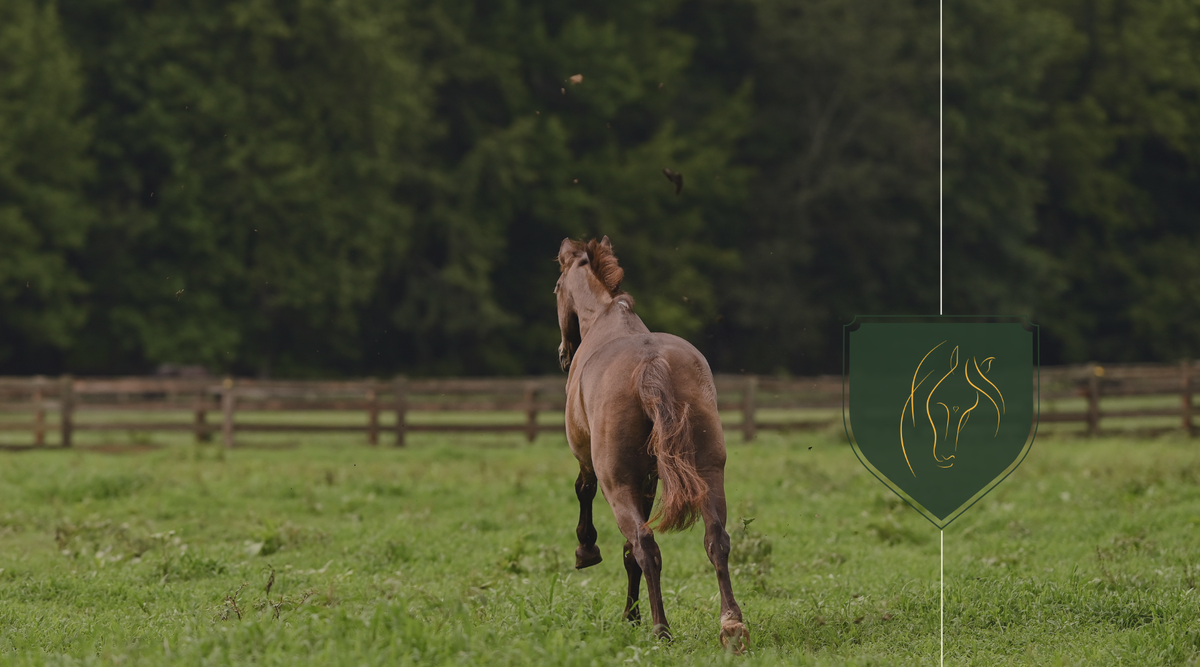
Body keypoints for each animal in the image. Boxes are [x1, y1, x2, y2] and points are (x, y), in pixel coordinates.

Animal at [555, 236, 749, 652]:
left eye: (556, 287)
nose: (563, 354)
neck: (607, 318)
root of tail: (650, 364)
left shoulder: (588, 460)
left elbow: (583, 491)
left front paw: (586, 551)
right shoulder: (649, 480)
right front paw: (631, 615)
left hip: (618, 483)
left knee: (645, 544)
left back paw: (662, 629)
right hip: (708, 472)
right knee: (715, 538)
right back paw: (731, 625)